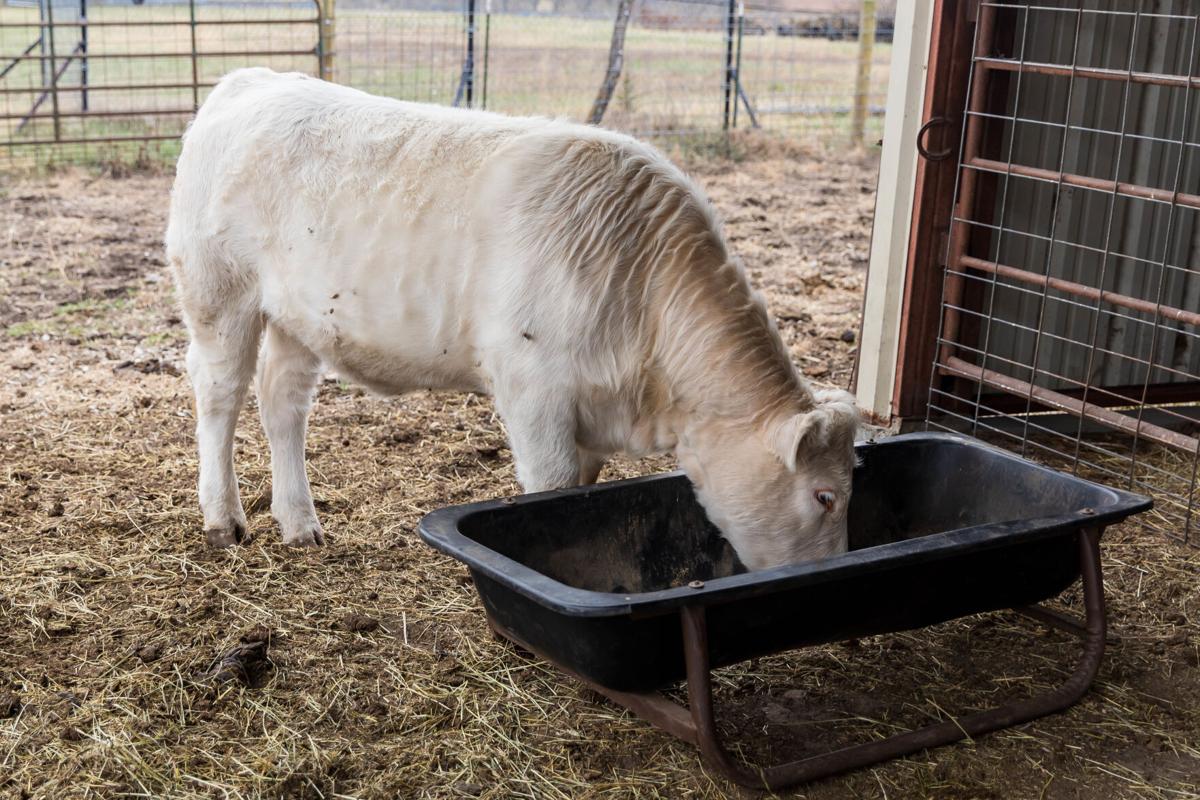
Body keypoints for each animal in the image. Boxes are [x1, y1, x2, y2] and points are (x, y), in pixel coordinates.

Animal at [165, 68, 861, 570]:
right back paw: (224, 519)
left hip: (298, 316)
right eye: (824, 495)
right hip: (220, 294)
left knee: (282, 402)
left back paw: (300, 522)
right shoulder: (534, 390)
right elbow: (551, 488)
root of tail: (251, 80)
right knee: (219, 397)